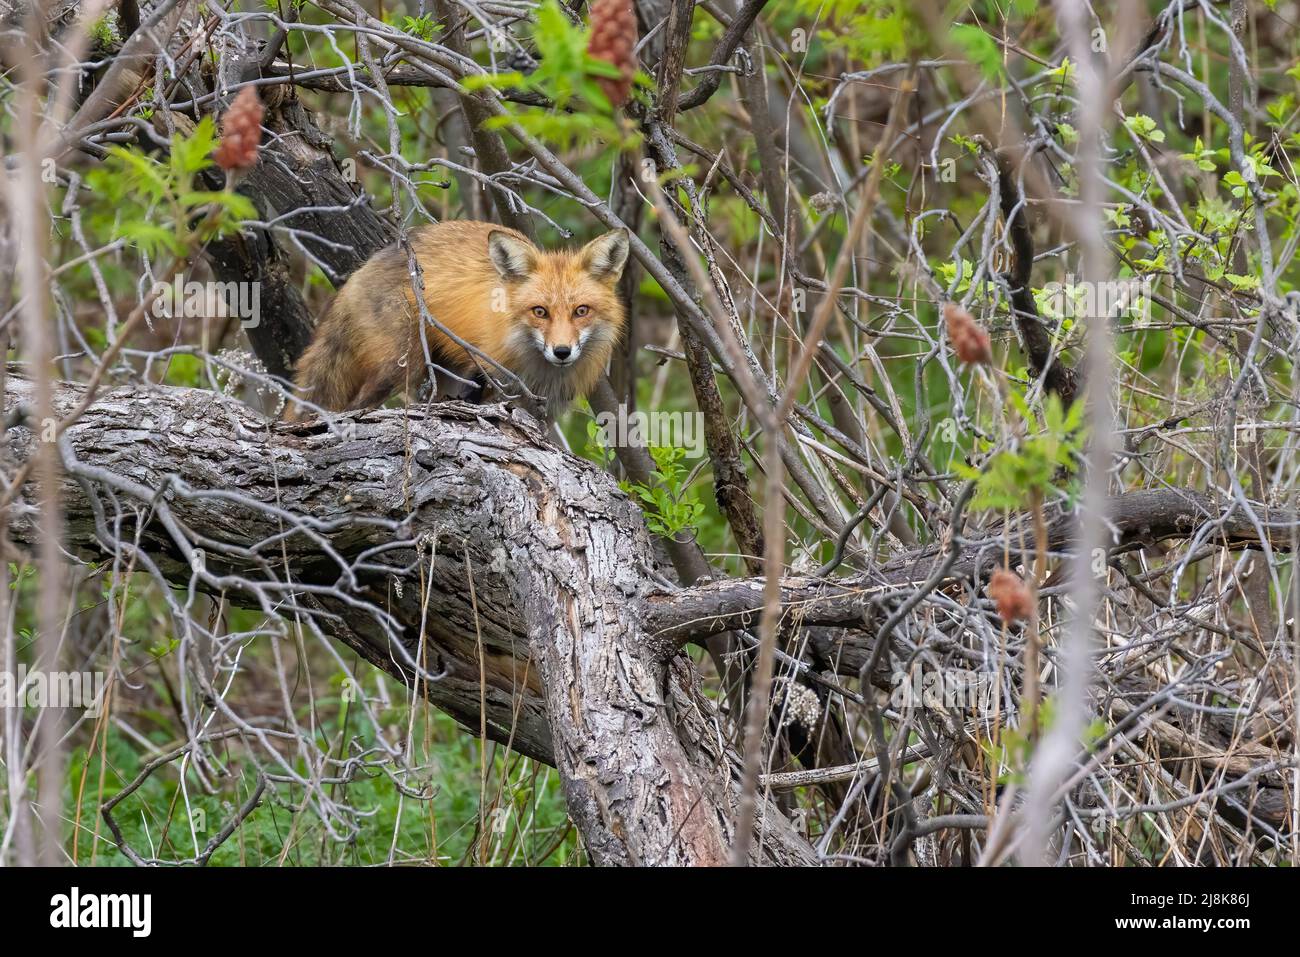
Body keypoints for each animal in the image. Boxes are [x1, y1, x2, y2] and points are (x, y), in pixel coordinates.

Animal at [284, 221, 630, 424]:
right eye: (540, 311)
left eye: (581, 311)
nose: (561, 352)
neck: (537, 371)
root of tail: (361, 270)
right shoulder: (484, 374)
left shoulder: (542, 408)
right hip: (399, 367)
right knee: (350, 408)